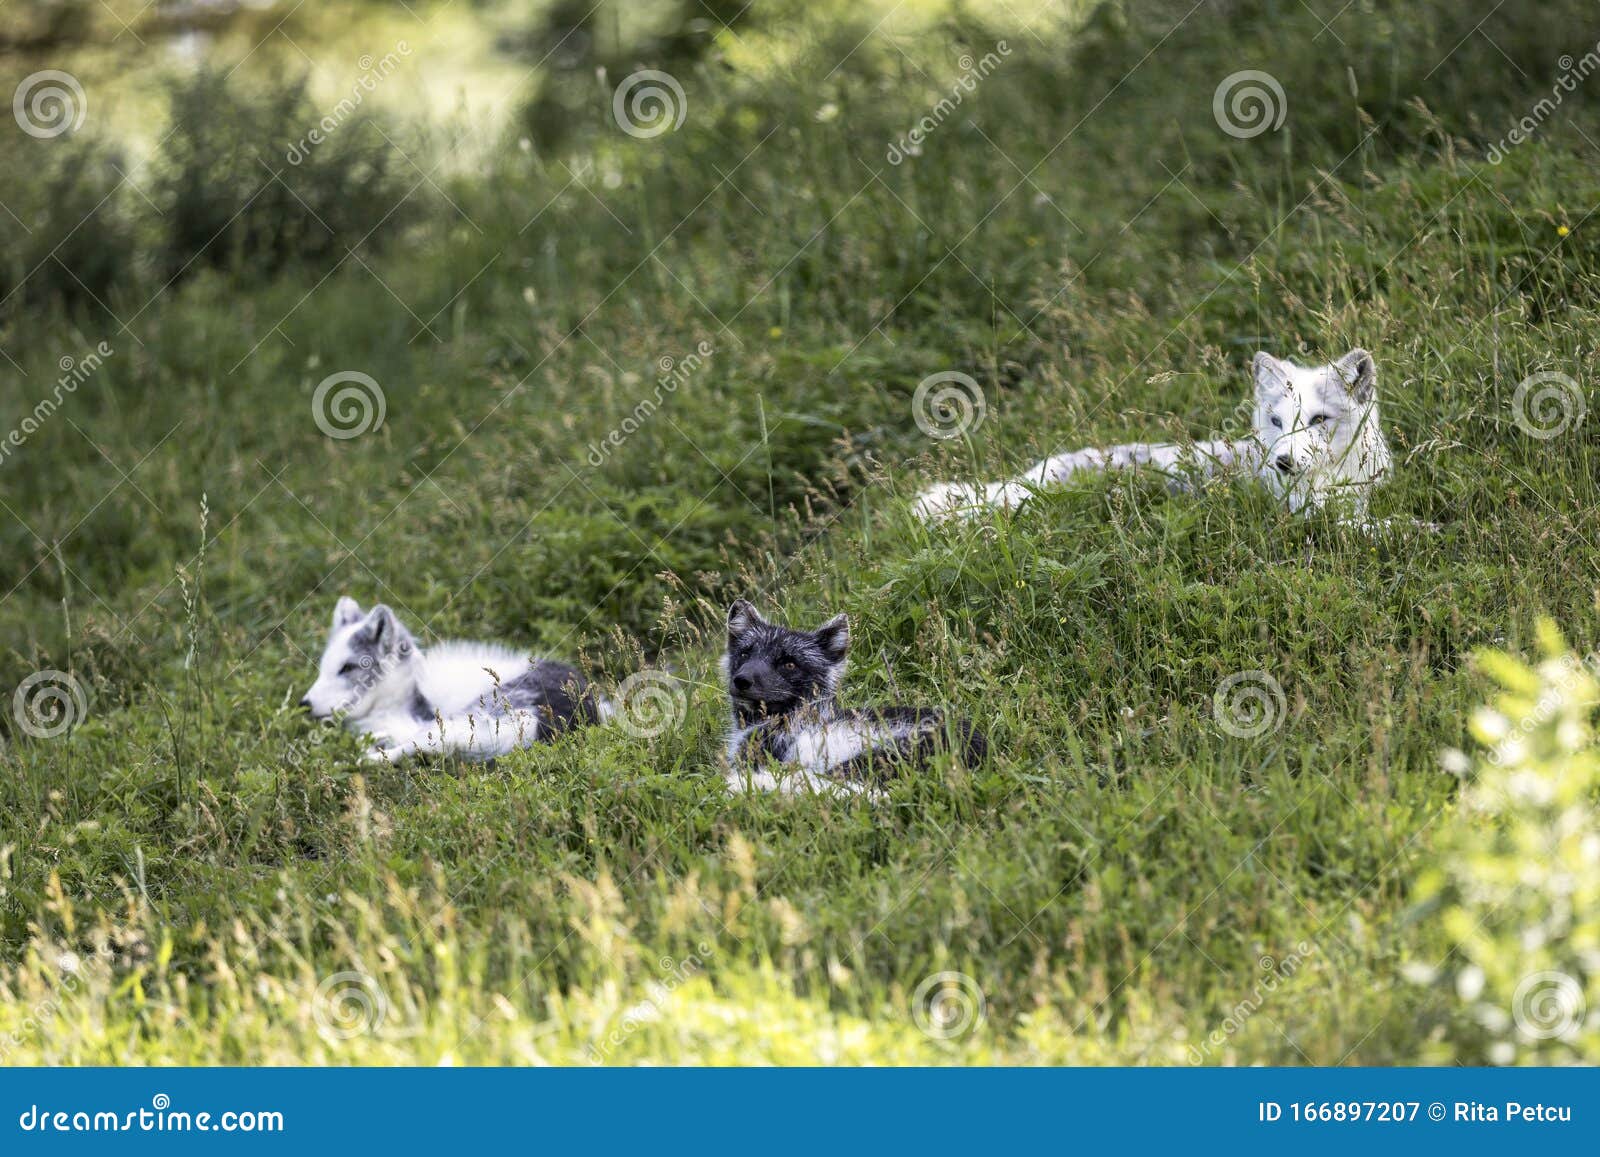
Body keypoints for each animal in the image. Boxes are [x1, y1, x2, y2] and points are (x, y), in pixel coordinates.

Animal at [914, 348, 1394, 526]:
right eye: (1277, 422)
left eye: (1317, 420)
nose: (1283, 463)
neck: (1337, 480)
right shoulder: (1305, 516)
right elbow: (1376, 529)